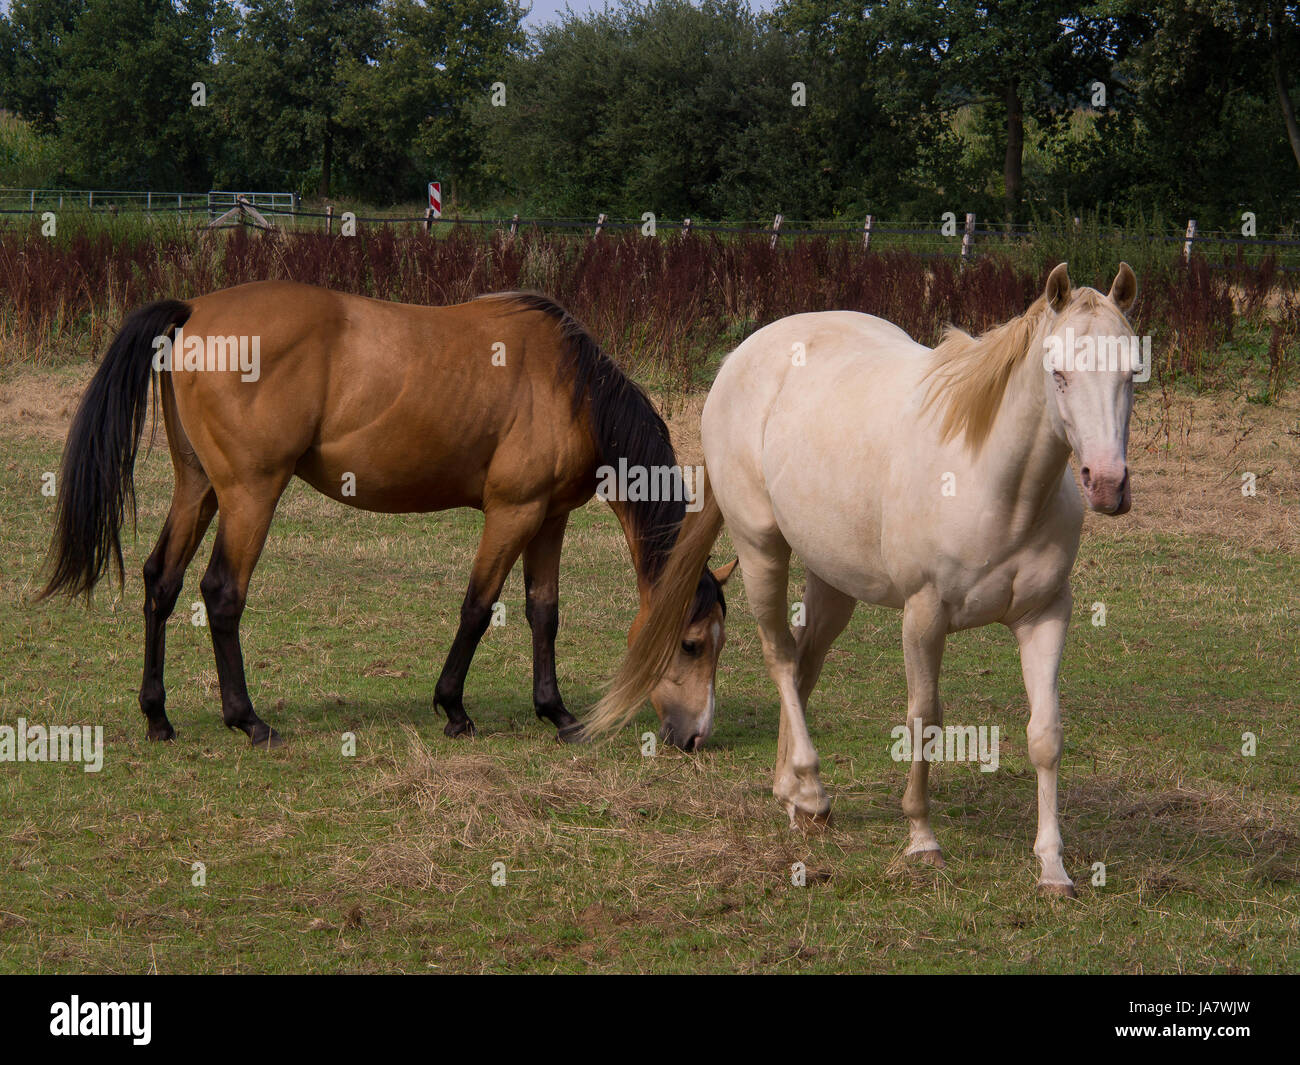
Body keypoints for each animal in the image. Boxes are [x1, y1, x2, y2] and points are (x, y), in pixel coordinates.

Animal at [39, 281, 732, 750]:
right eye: (692, 644)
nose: (695, 738)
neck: (571, 384)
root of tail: (195, 312)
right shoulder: (512, 513)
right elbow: (479, 607)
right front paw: (453, 709)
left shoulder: (549, 518)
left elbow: (544, 612)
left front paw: (556, 712)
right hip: (249, 495)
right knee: (221, 592)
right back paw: (248, 720)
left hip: (198, 489)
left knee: (163, 582)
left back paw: (158, 716)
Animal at [585, 263, 1139, 896]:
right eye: (1059, 373)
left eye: (1132, 372)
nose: (1107, 484)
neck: (997, 485)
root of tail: (742, 357)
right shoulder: (924, 616)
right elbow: (924, 719)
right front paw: (922, 840)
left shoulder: (1045, 615)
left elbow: (1045, 734)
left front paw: (1052, 867)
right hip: (761, 550)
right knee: (781, 657)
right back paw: (811, 791)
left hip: (833, 579)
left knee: (805, 664)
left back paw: (793, 794)